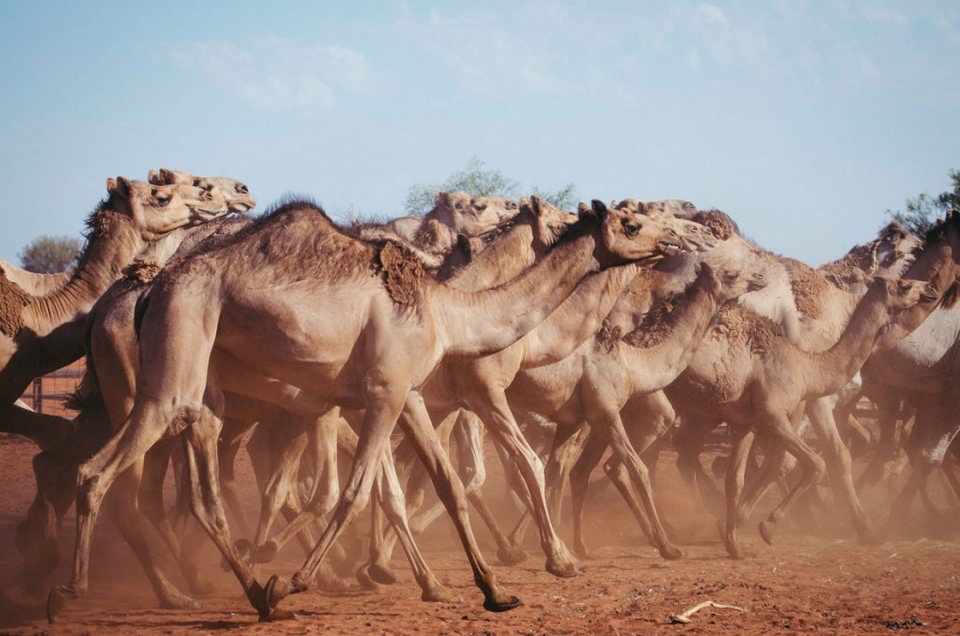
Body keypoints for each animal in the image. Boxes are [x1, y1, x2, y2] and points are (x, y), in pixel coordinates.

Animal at [46, 197, 716, 621]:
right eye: (631, 219)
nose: (674, 240)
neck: (452, 311)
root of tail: (149, 290)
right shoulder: (396, 392)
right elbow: (359, 487)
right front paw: (300, 580)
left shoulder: (408, 396)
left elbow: (440, 483)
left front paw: (490, 589)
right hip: (176, 361)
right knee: (101, 470)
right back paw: (74, 593)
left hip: (209, 394)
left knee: (194, 487)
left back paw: (237, 589)